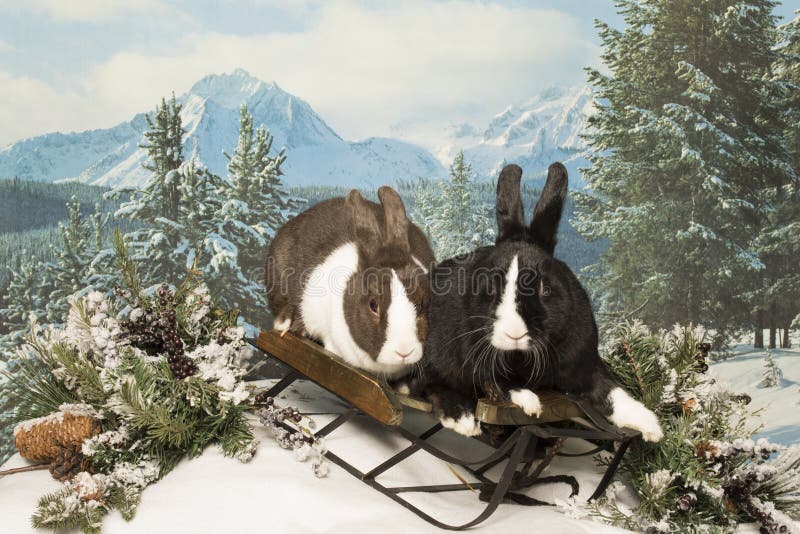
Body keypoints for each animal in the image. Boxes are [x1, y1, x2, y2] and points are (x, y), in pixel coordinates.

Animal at [401, 163, 663, 442]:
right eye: (491, 287)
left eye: (544, 287)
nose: (514, 333)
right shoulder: (479, 358)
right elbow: (500, 382)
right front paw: (529, 401)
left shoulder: (585, 364)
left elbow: (610, 390)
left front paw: (651, 426)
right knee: (427, 384)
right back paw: (462, 419)